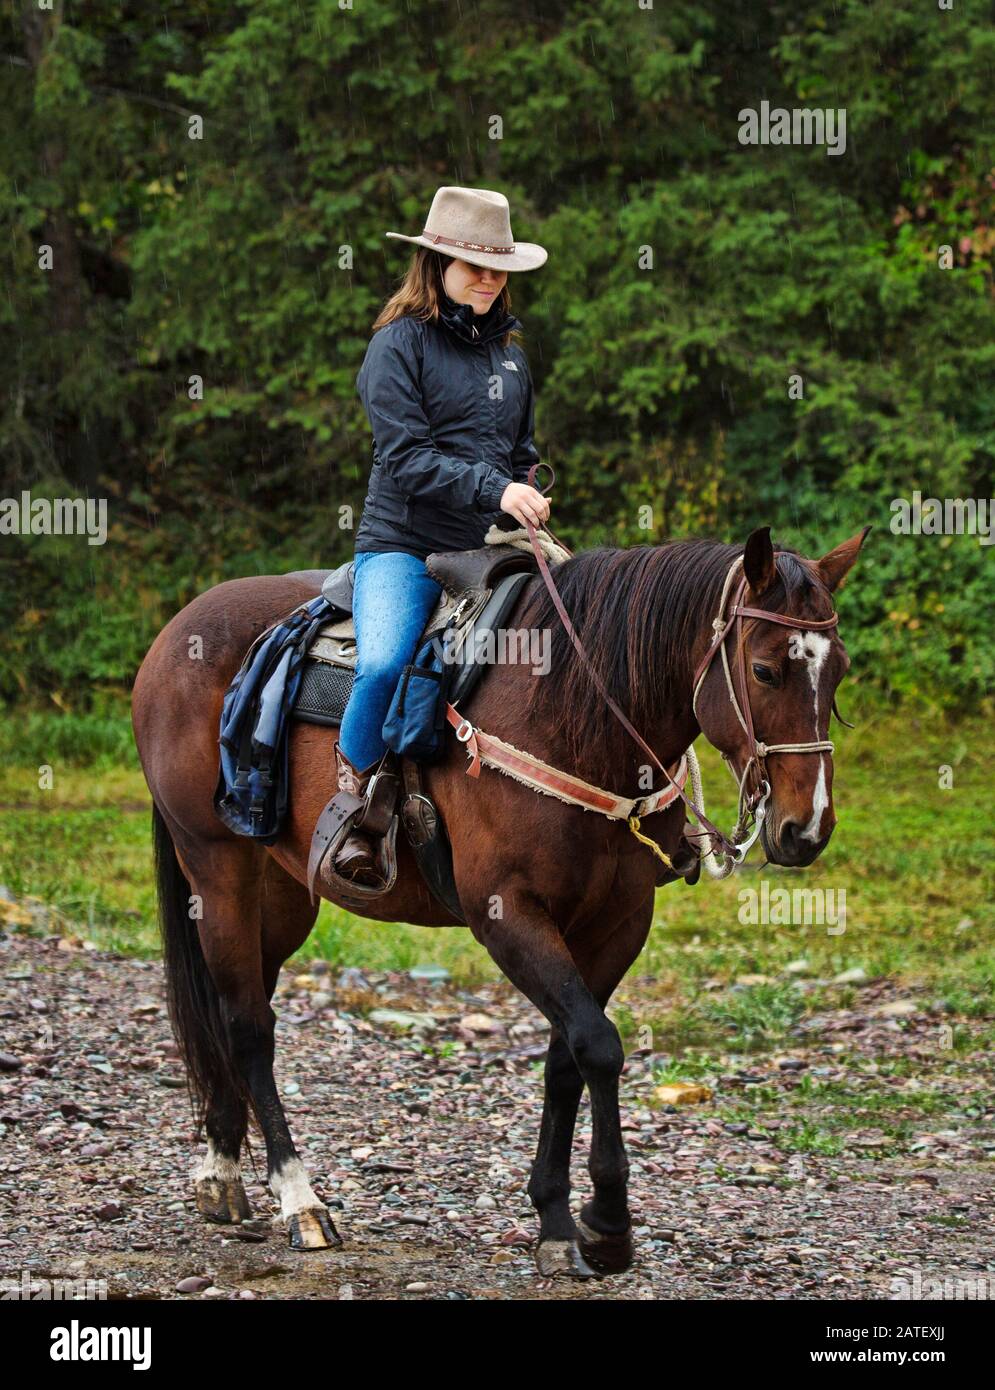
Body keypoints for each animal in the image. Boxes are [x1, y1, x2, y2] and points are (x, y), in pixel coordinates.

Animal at [130, 523, 867, 1277]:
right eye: (765, 671)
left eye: (837, 671)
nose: (805, 829)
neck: (574, 714)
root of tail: (180, 629)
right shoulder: (507, 913)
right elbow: (599, 1044)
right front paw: (607, 1224)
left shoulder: (617, 922)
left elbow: (568, 1058)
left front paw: (557, 1221)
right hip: (216, 865)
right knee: (248, 1024)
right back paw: (300, 1200)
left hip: (278, 893)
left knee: (233, 1008)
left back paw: (221, 1172)